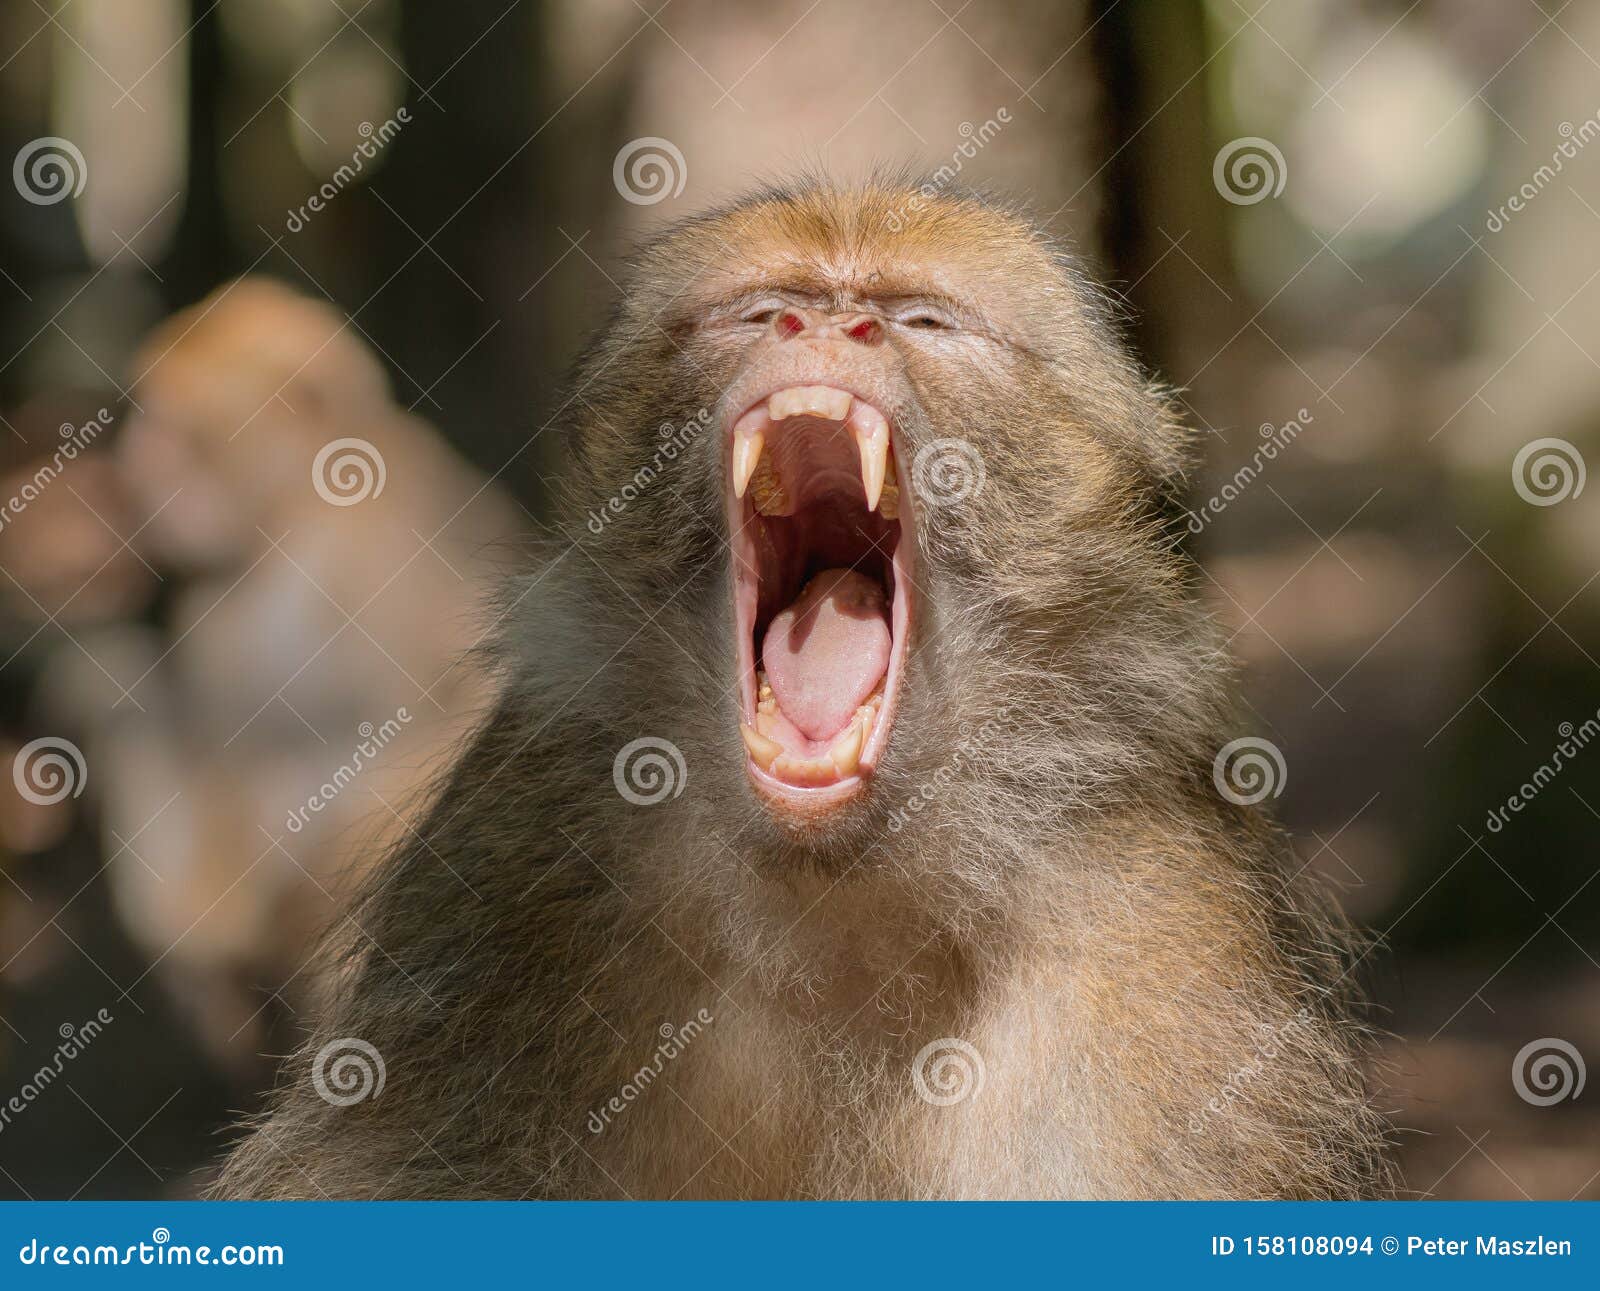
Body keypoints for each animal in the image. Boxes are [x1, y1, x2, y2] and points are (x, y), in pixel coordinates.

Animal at [213, 180, 1393, 1200]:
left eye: (921, 320)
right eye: (761, 312)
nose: (831, 328)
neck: (838, 895)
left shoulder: (1166, 916)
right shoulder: (514, 866)